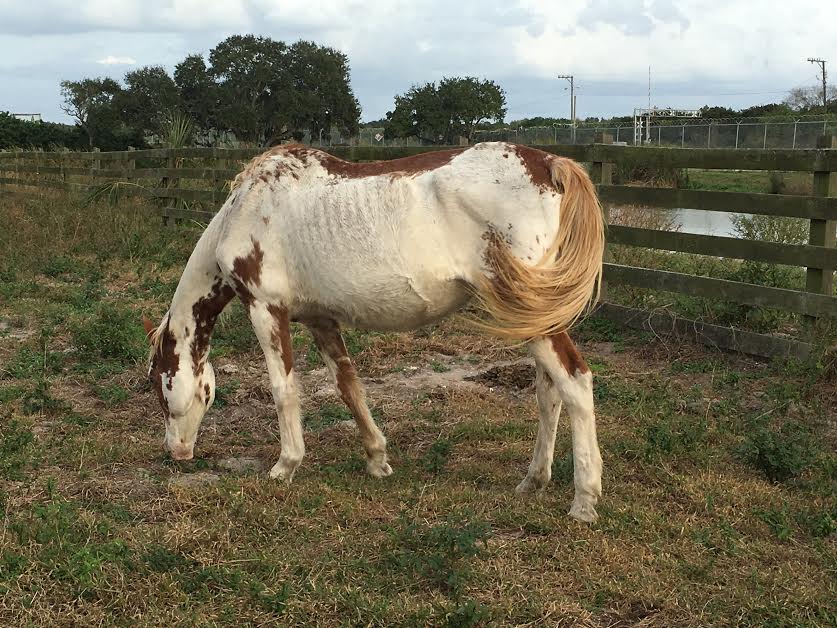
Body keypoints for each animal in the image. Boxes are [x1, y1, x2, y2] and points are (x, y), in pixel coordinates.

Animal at [143, 141, 606, 522]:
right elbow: (349, 386)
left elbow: (283, 389)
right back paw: (534, 480)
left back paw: (584, 501)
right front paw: (377, 459)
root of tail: (548, 164)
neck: (248, 209)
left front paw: (285, 466)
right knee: (549, 392)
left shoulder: (265, 308)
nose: (176, 453)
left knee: (576, 382)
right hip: (535, 316)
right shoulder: (321, 320)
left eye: (158, 385)